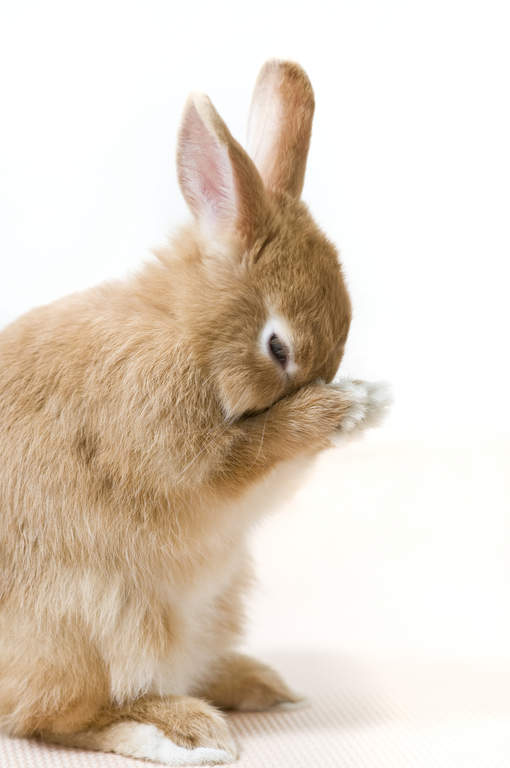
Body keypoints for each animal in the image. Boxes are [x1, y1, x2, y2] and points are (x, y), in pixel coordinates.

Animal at [0, 60, 389, 765]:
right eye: (277, 347)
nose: (331, 384)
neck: (188, 331)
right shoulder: (175, 449)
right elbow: (251, 457)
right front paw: (351, 407)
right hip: (92, 621)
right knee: (56, 718)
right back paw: (183, 729)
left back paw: (256, 684)